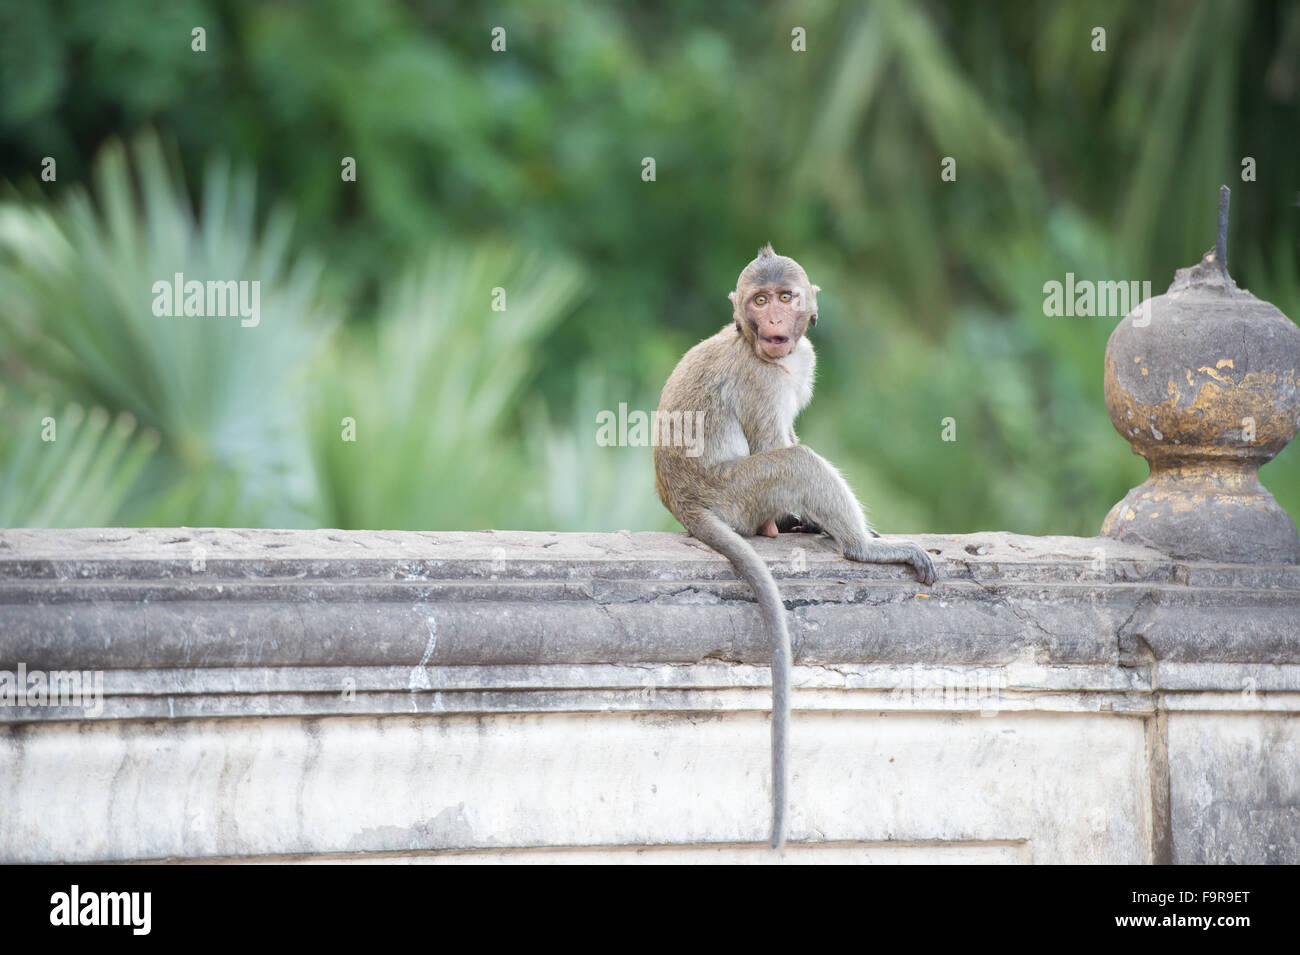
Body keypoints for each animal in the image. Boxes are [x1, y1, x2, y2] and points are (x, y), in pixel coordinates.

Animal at [653, 243, 938, 850]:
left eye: (786, 296)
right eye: (760, 301)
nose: (776, 322)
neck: (752, 343)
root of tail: (685, 502)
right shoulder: (763, 380)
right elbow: (776, 441)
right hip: (739, 492)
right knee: (795, 463)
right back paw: (860, 548)